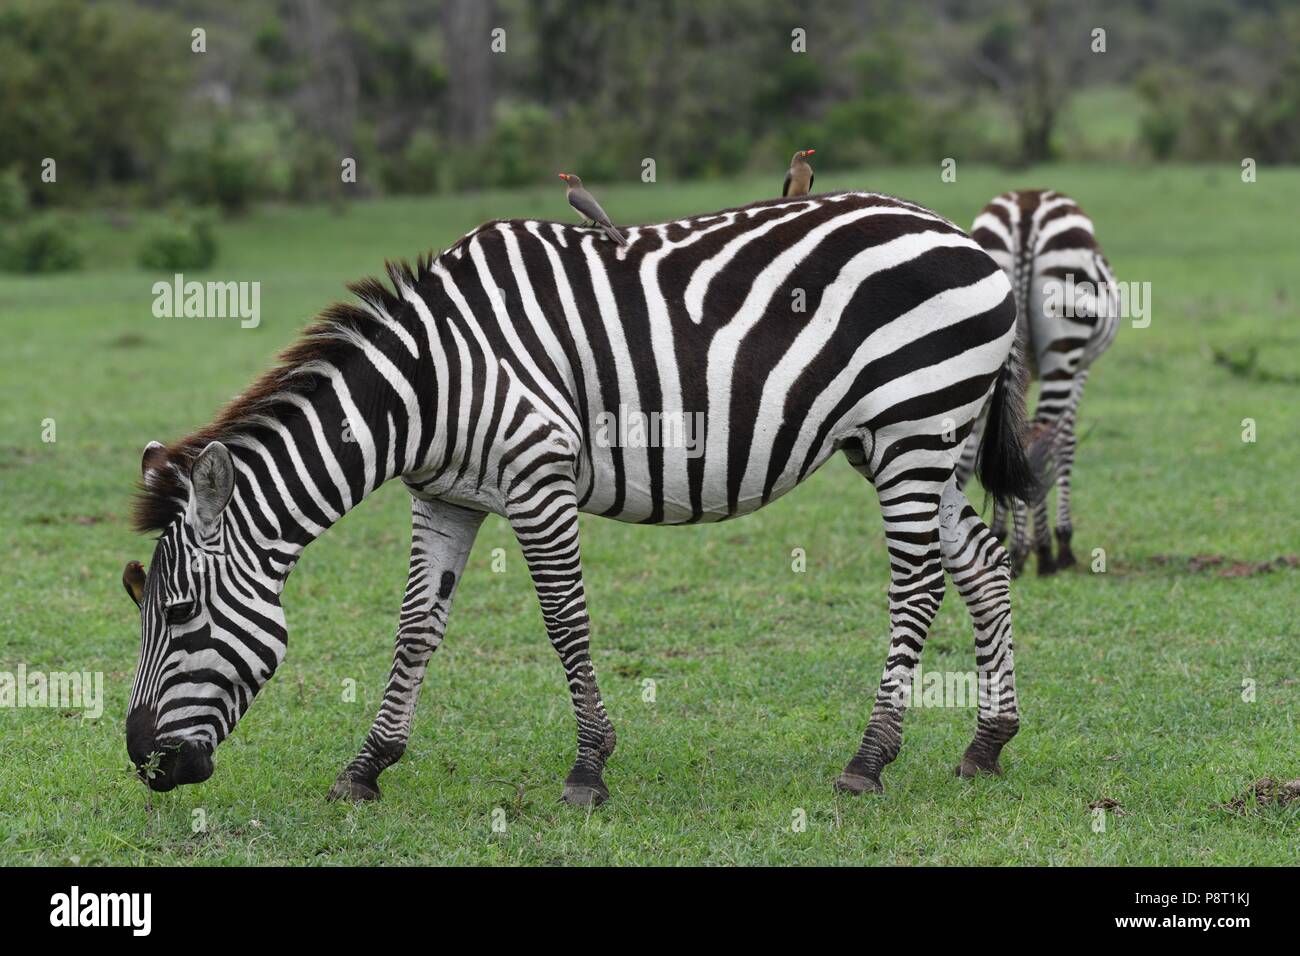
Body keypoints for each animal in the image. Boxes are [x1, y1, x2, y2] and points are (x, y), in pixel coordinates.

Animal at [122, 190, 1037, 804]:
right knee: (985, 565)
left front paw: (590, 767)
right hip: (909, 441)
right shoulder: (444, 497)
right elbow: (416, 630)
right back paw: (987, 743)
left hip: (915, 425)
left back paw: (869, 759)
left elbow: (565, 621)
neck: (428, 385)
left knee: (917, 585)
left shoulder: (538, 476)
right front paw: (366, 766)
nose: (144, 763)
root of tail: (965, 239)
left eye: (181, 616)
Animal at [956, 189, 1119, 577]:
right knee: (1036, 441)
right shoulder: (1081, 369)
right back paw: (1038, 551)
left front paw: (1002, 531)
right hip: (1065, 345)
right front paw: (1060, 541)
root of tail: (1026, 211)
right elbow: (1064, 442)